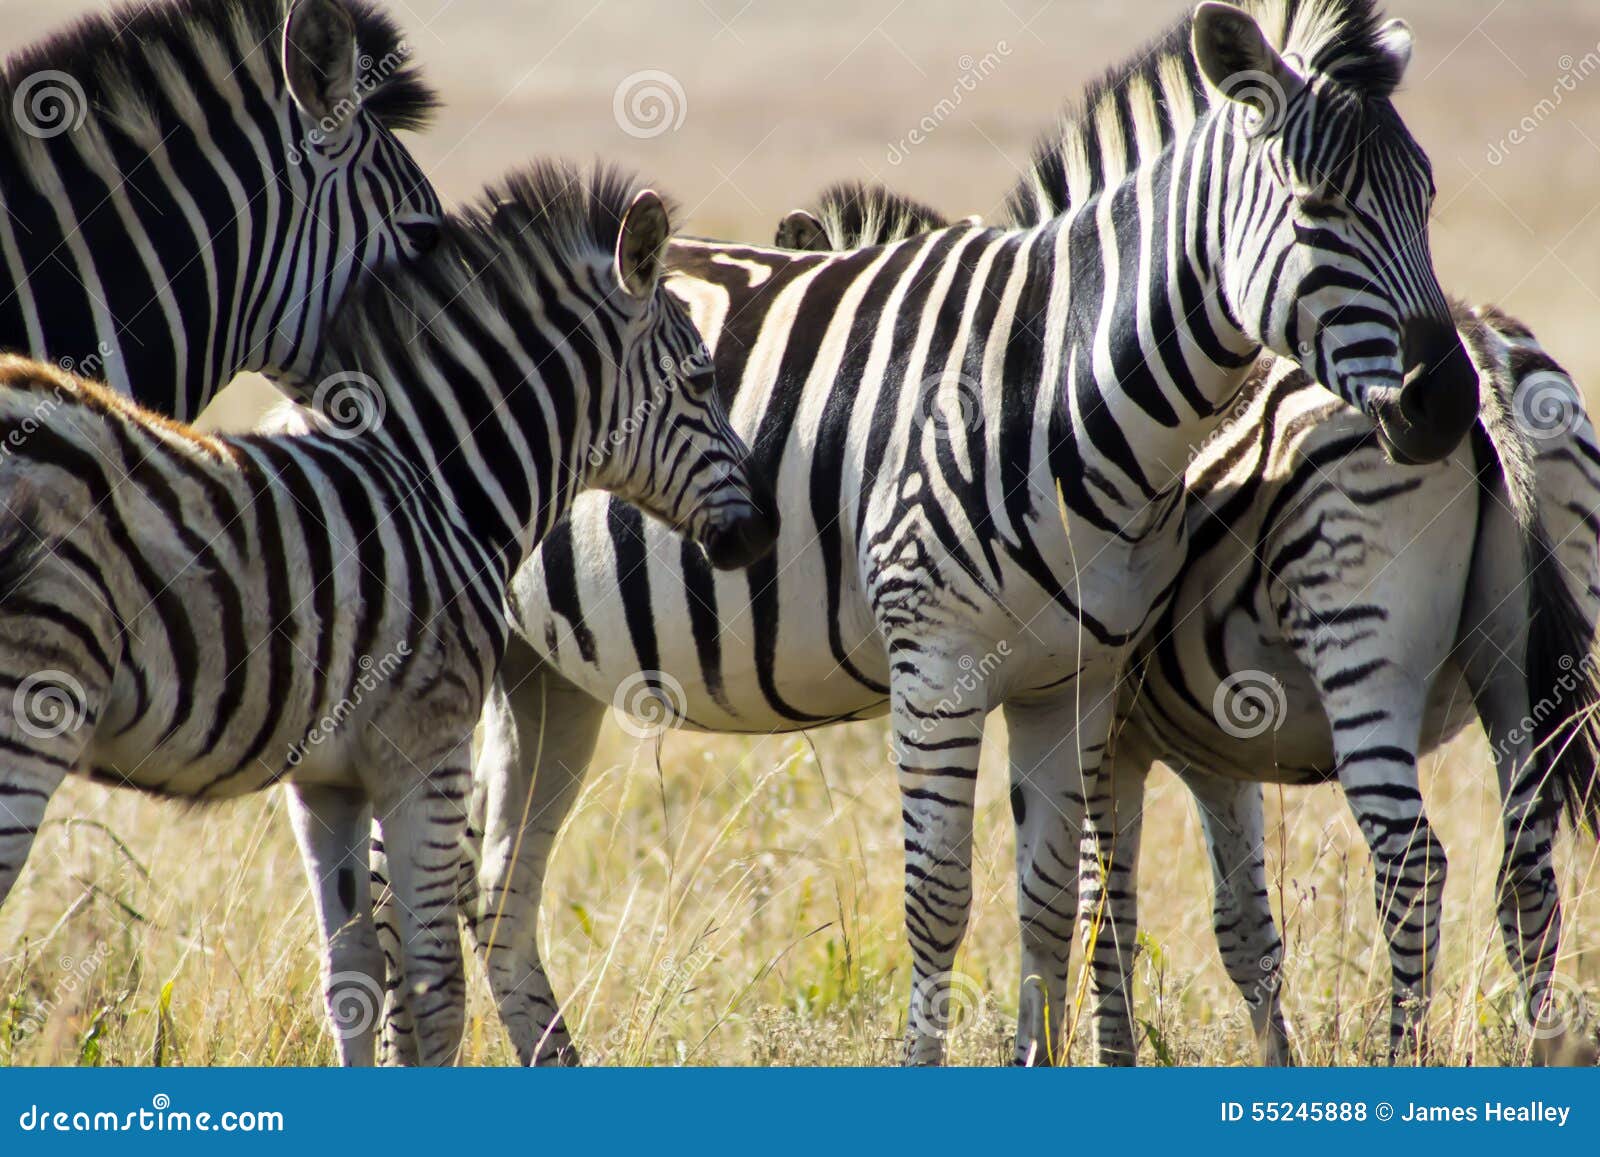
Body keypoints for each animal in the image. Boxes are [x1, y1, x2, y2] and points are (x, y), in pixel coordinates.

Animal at [0, 162, 776, 1065]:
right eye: (702, 380)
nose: (761, 530)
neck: (441, 485)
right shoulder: (427, 752)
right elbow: (436, 996)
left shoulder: (326, 779)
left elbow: (354, 978)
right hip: (31, 711)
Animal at [437, 0, 1483, 1067]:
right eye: (1318, 206)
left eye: (1430, 198)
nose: (1446, 403)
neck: (1056, 386)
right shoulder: (935, 667)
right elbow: (939, 902)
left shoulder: (1074, 680)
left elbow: (1052, 903)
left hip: (541, 669)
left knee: (499, 890)